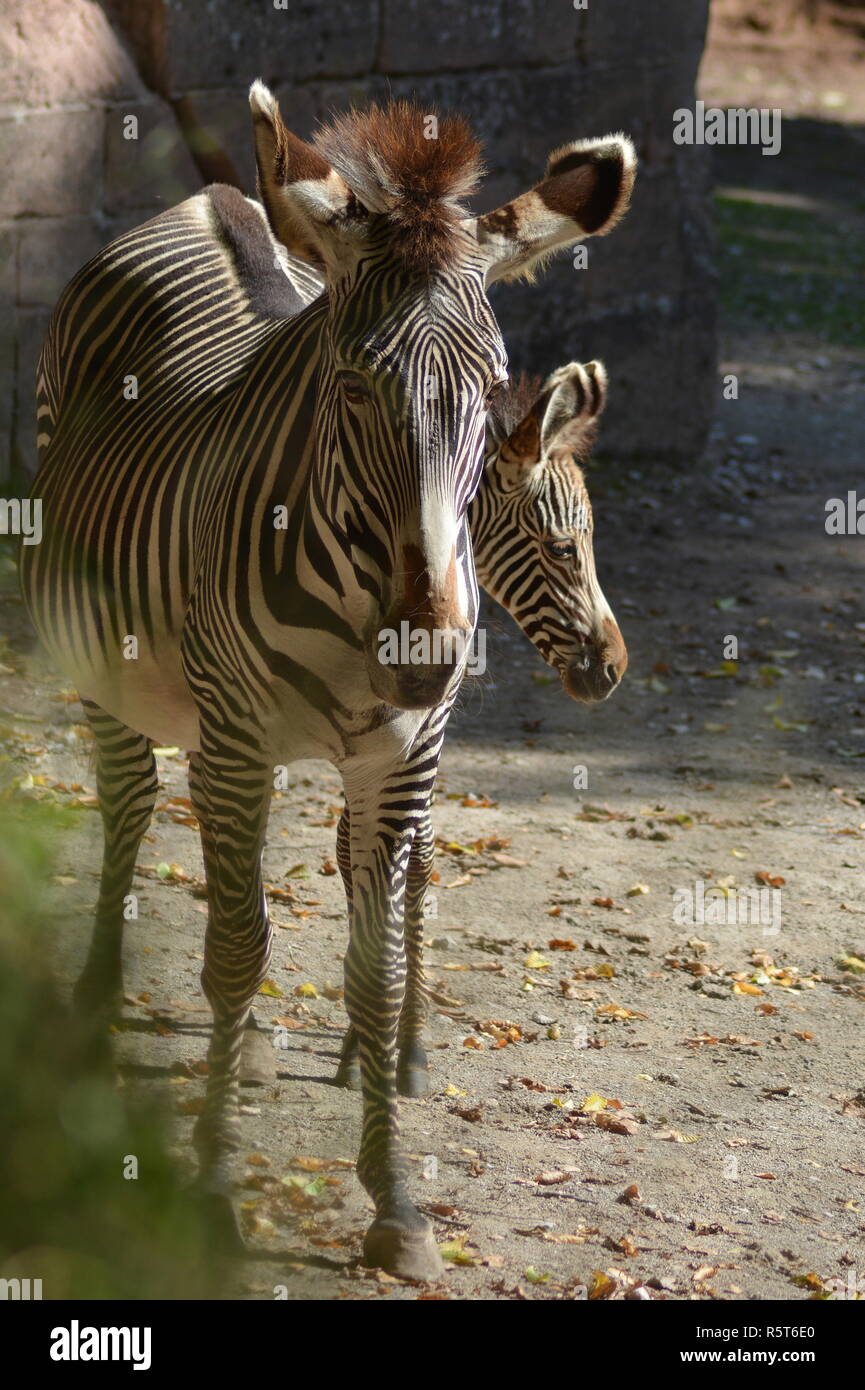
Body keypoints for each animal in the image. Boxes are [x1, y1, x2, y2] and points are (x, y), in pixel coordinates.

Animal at [21, 85, 635, 1280]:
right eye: (352, 387)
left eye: (486, 400)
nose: (424, 655)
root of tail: (216, 197)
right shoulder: (236, 739)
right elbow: (233, 951)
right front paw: (215, 1187)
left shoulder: (402, 754)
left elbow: (373, 953)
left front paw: (393, 1191)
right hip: (116, 671)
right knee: (128, 805)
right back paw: (94, 1000)